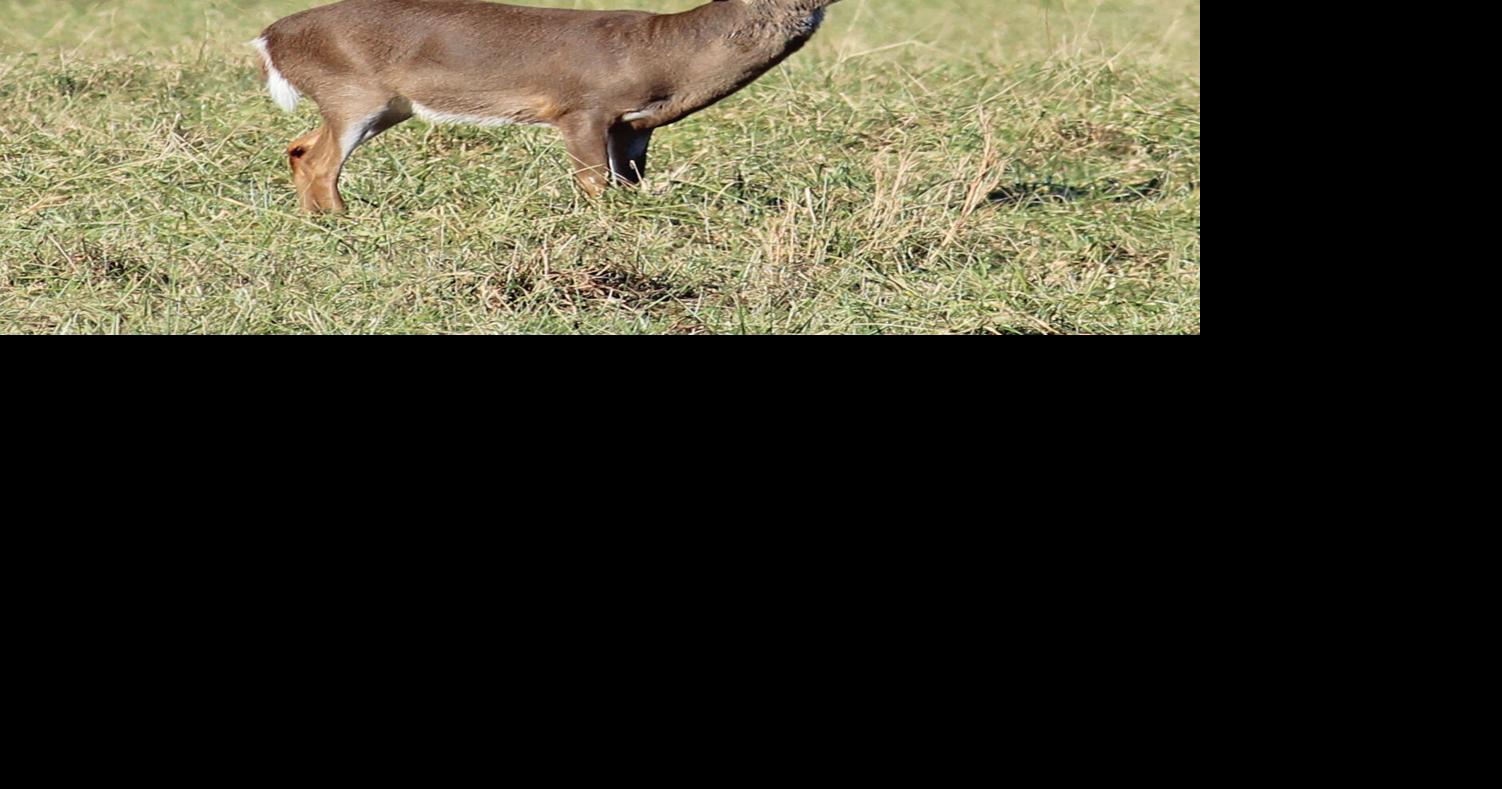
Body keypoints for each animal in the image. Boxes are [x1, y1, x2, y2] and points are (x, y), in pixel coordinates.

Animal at [252, 0, 840, 212]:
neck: (666, 58)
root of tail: (269, 38)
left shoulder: (634, 126)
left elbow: (628, 181)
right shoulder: (582, 107)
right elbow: (594, 184)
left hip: (388, 104)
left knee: (300, 148)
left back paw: (317, 219)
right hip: (355, 92)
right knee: (320, 160)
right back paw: (344, 220)